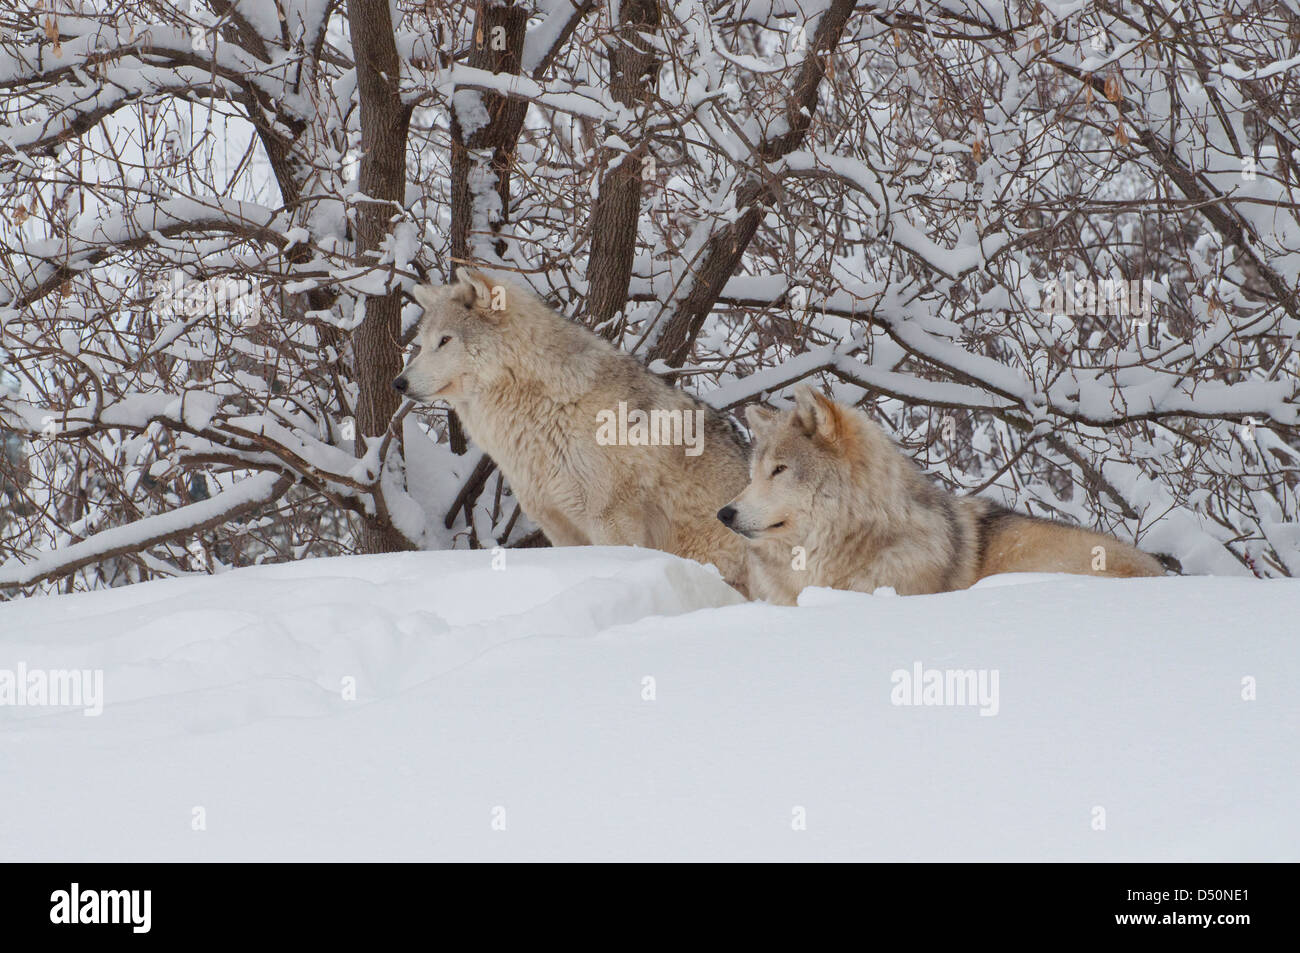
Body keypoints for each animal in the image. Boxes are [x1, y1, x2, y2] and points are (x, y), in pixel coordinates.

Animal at [394, 269, 750, 591]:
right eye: (422, 343)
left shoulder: (611, 520)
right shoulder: (558, 526)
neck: (550, 407)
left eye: (444, 340)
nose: (399, 383)